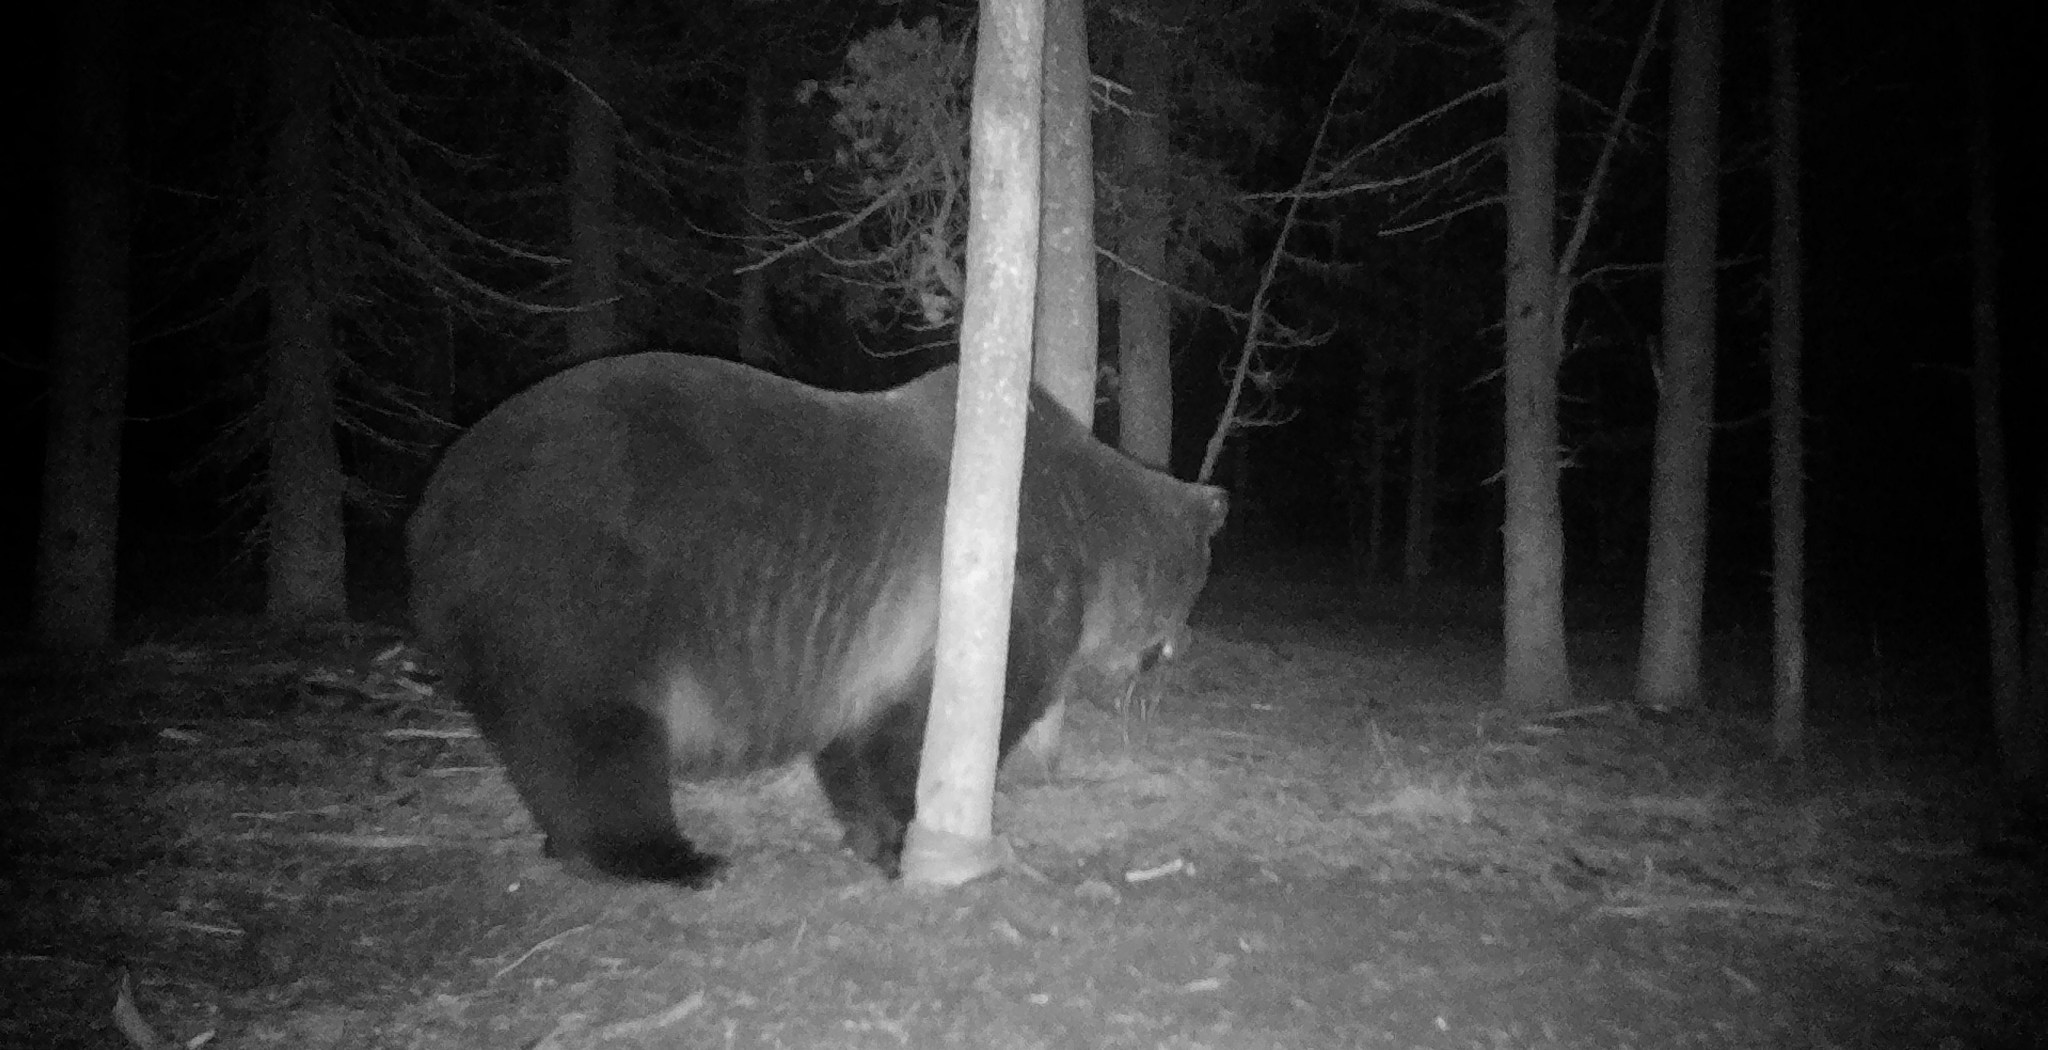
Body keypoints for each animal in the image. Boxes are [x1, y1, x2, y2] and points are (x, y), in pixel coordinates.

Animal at [407, 353, 1226, 887]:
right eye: (1190, 594)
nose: (1181, 647)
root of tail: (432, 503)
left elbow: (859, 737)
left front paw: (870, 835)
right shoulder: (1003, 583)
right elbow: (927, 724)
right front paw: (906, 841)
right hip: (573, 586)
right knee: (596, 732)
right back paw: (670, 857)